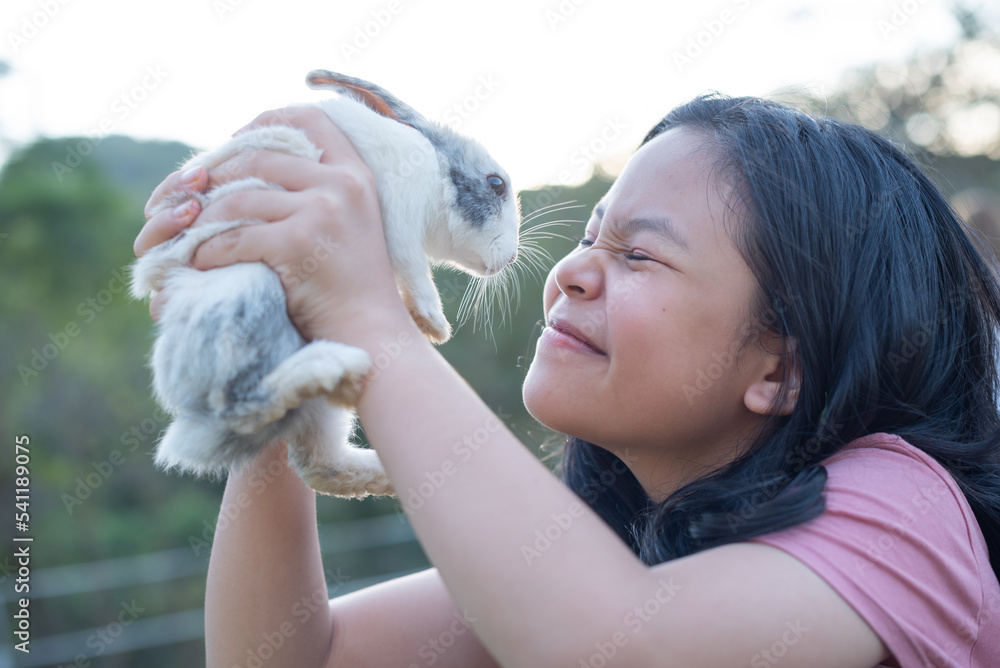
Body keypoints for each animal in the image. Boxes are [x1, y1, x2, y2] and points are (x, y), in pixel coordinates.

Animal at [130, 70, 520, 498]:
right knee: (238, 408)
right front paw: (435, 326)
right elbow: (415, 272)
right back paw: (333, 365)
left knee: (322, 466)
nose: (512, 257)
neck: (433, 170)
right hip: (248, 291)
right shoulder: (400, 217)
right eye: (496, 183)